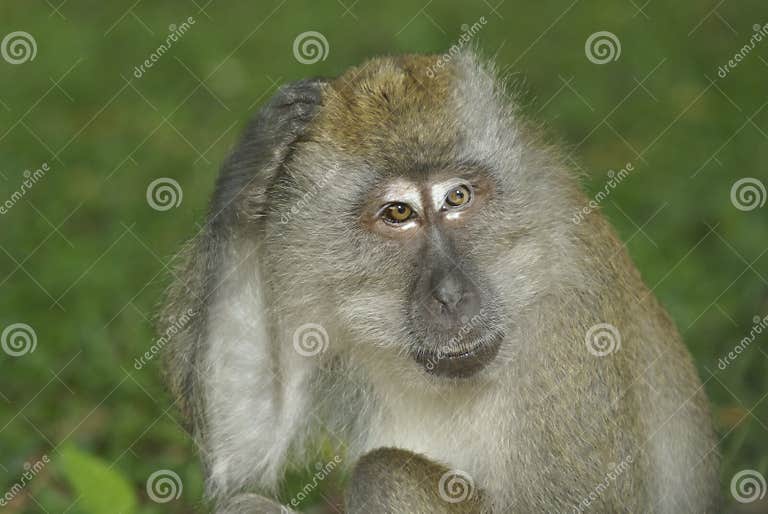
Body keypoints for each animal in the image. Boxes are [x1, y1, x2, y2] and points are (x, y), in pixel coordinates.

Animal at [159, 51, 720, 513]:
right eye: (398, 212)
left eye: (457, 197)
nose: (450, 295)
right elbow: (244, 456)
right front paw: (254, 167)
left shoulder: (572, 319)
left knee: (382, 473)